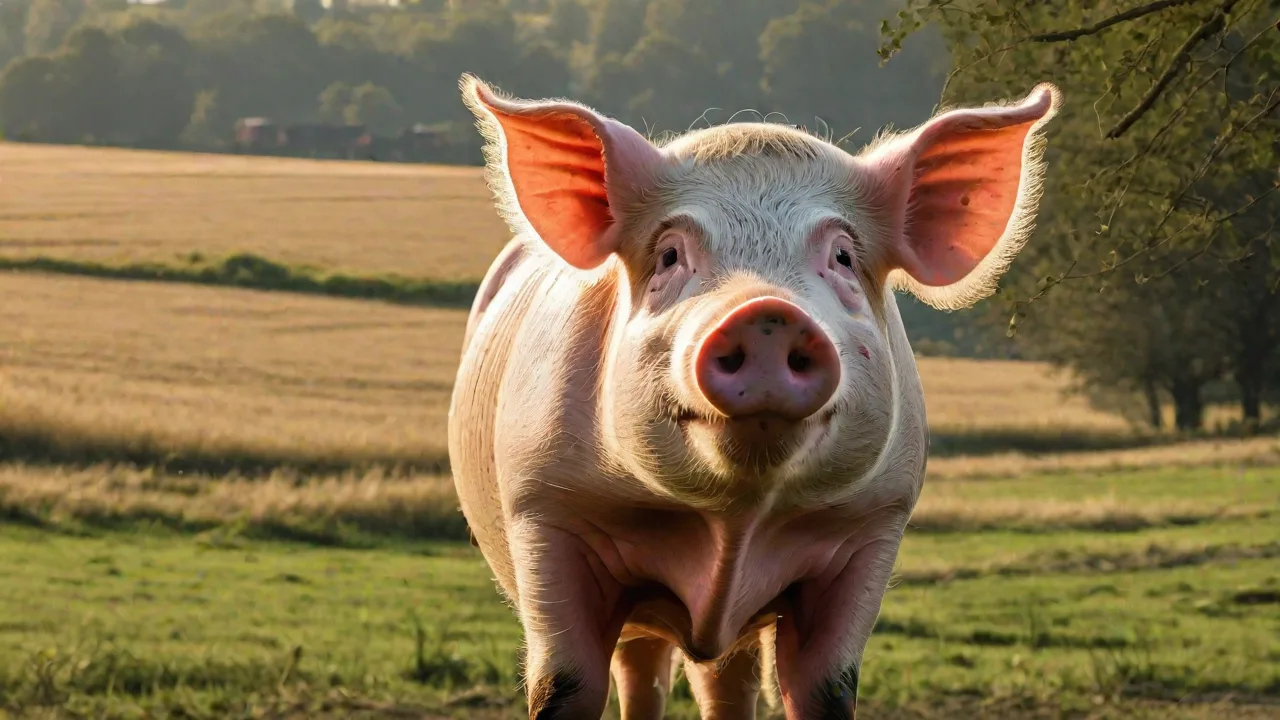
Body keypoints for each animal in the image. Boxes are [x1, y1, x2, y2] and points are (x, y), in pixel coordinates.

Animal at [448, 72, 1060, 720]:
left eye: (843, 256)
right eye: (669, 254)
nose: (767, 312)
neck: (733, 521)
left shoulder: (872, 527)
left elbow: (824, 687)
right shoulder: (544, 508)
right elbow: (565, 685)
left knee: (723, 682)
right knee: (642, 673)